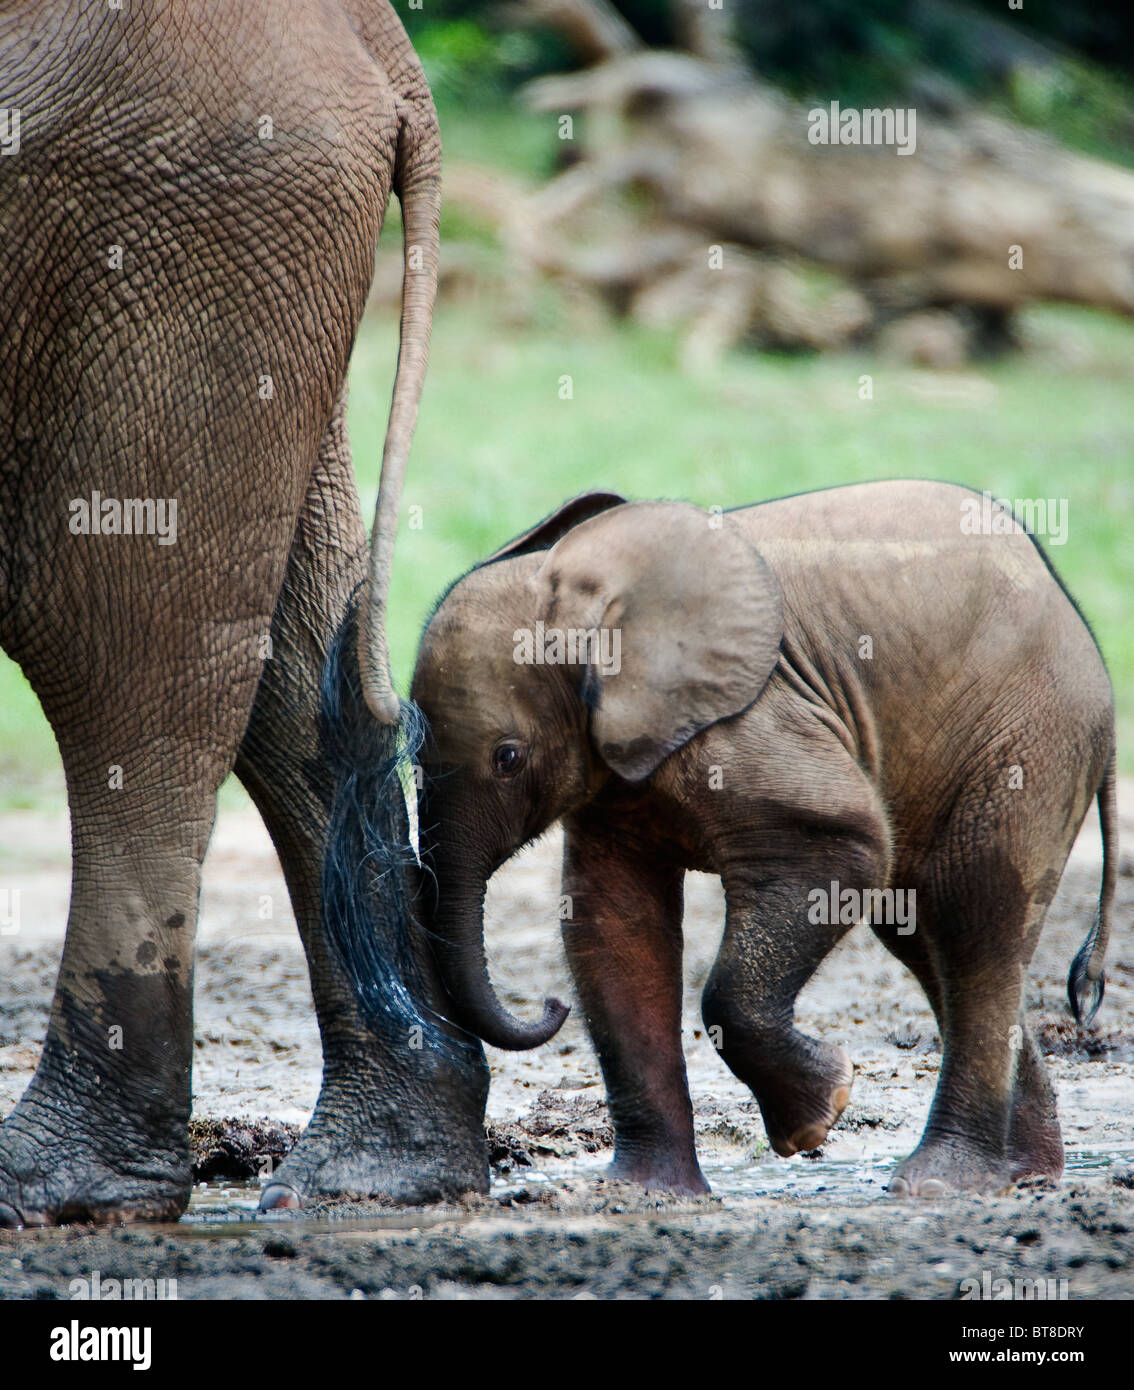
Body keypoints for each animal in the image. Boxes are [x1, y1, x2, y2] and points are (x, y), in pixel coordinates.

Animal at [0, 0, 491, 1227]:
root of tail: (374, 36)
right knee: (305, 669)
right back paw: (380, 1174)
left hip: (167, 219)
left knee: (122, 653)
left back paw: (60, 1188)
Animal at [383, 481, 1117, 1198]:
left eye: (507, 758)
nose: (548, 1004)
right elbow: (611, 924)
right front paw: (641, 1196)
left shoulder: (752, 718)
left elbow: (843, 844)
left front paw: (816, 1121)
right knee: (927, 933)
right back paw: (1025, 1175)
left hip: (1029, 738)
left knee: (975, 915)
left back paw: (939, 1183)